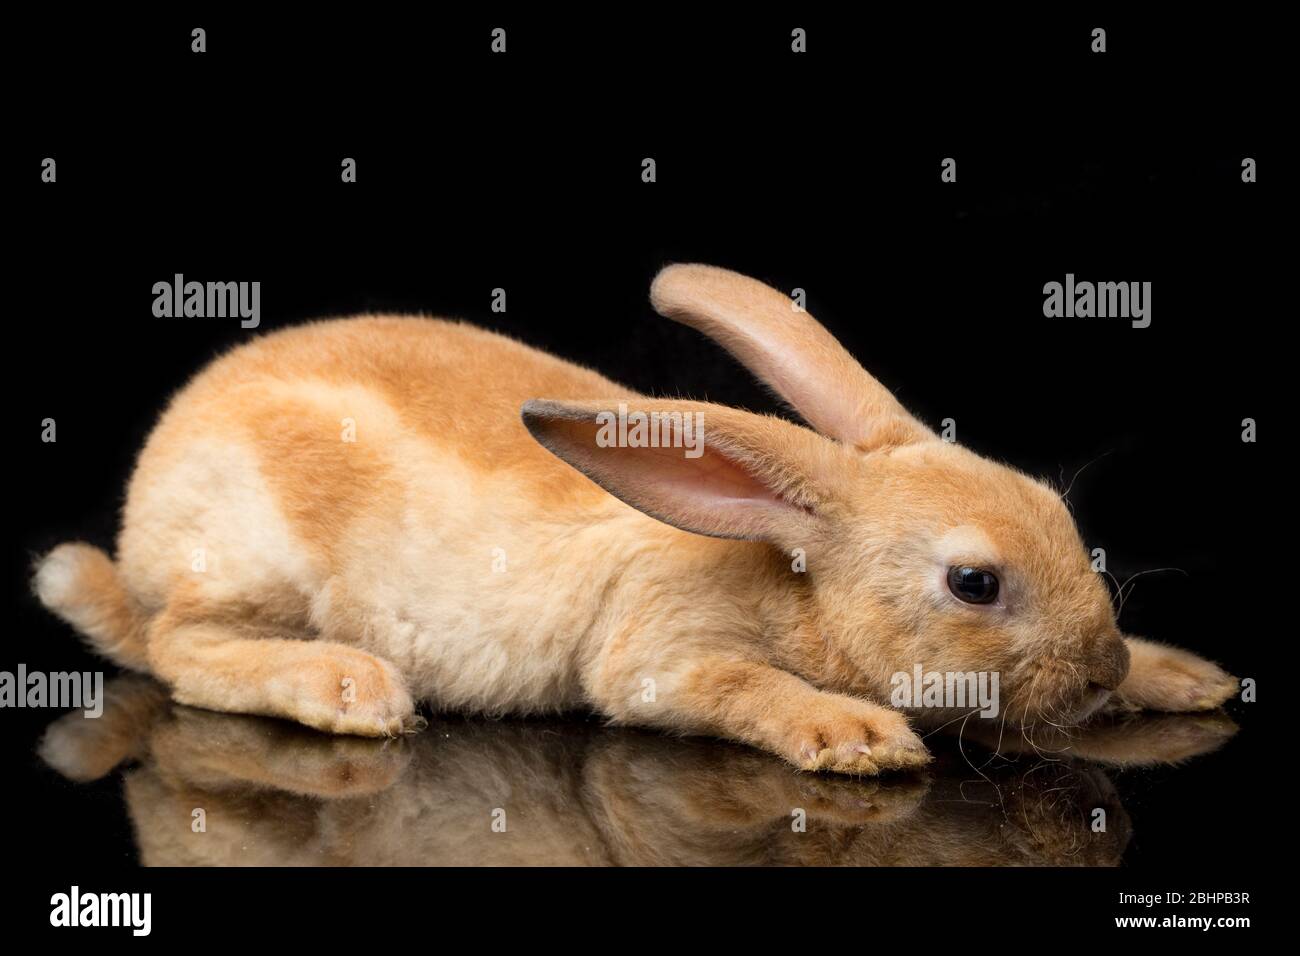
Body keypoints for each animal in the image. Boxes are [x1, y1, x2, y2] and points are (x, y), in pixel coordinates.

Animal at [32, 263, 1240, 775]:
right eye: (974, 583)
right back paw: (348, 688)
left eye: (1054, 509)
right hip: (250, 565)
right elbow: (730, 686)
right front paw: (852, 736)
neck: (790, 565)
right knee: (182, 647)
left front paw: (1182, 677)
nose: (1102, 666)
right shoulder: (660, 648)